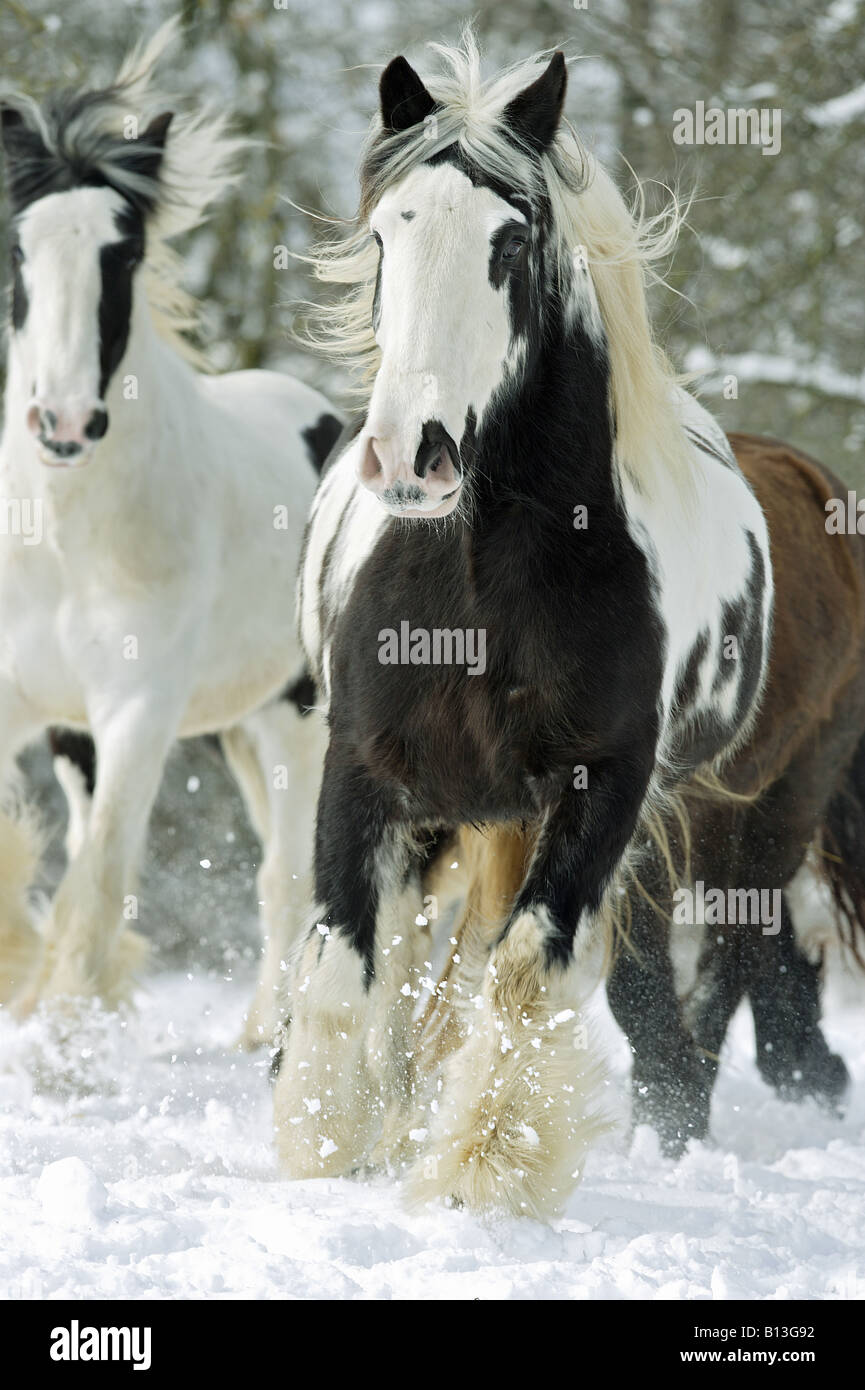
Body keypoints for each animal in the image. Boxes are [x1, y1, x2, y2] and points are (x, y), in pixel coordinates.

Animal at [0, 23, 339, 1045]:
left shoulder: (137, 713)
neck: (65, 540)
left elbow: (96, 888)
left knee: (287, 880)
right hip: (231, 727)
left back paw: (268, 1035)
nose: (64, 423)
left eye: (124, 253)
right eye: (20, 249)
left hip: (298, 722)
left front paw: (68, 1041)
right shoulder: (38, 714)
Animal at [272, 36, 778, 1219]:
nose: (411, 456)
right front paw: (326, 1154)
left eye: (509, 241)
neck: (477, 587)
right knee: (404, 977)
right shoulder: (362, 773)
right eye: (384, 233)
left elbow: (519, 971)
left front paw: (483, 1168)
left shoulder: (604, 787)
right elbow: (344, 970)